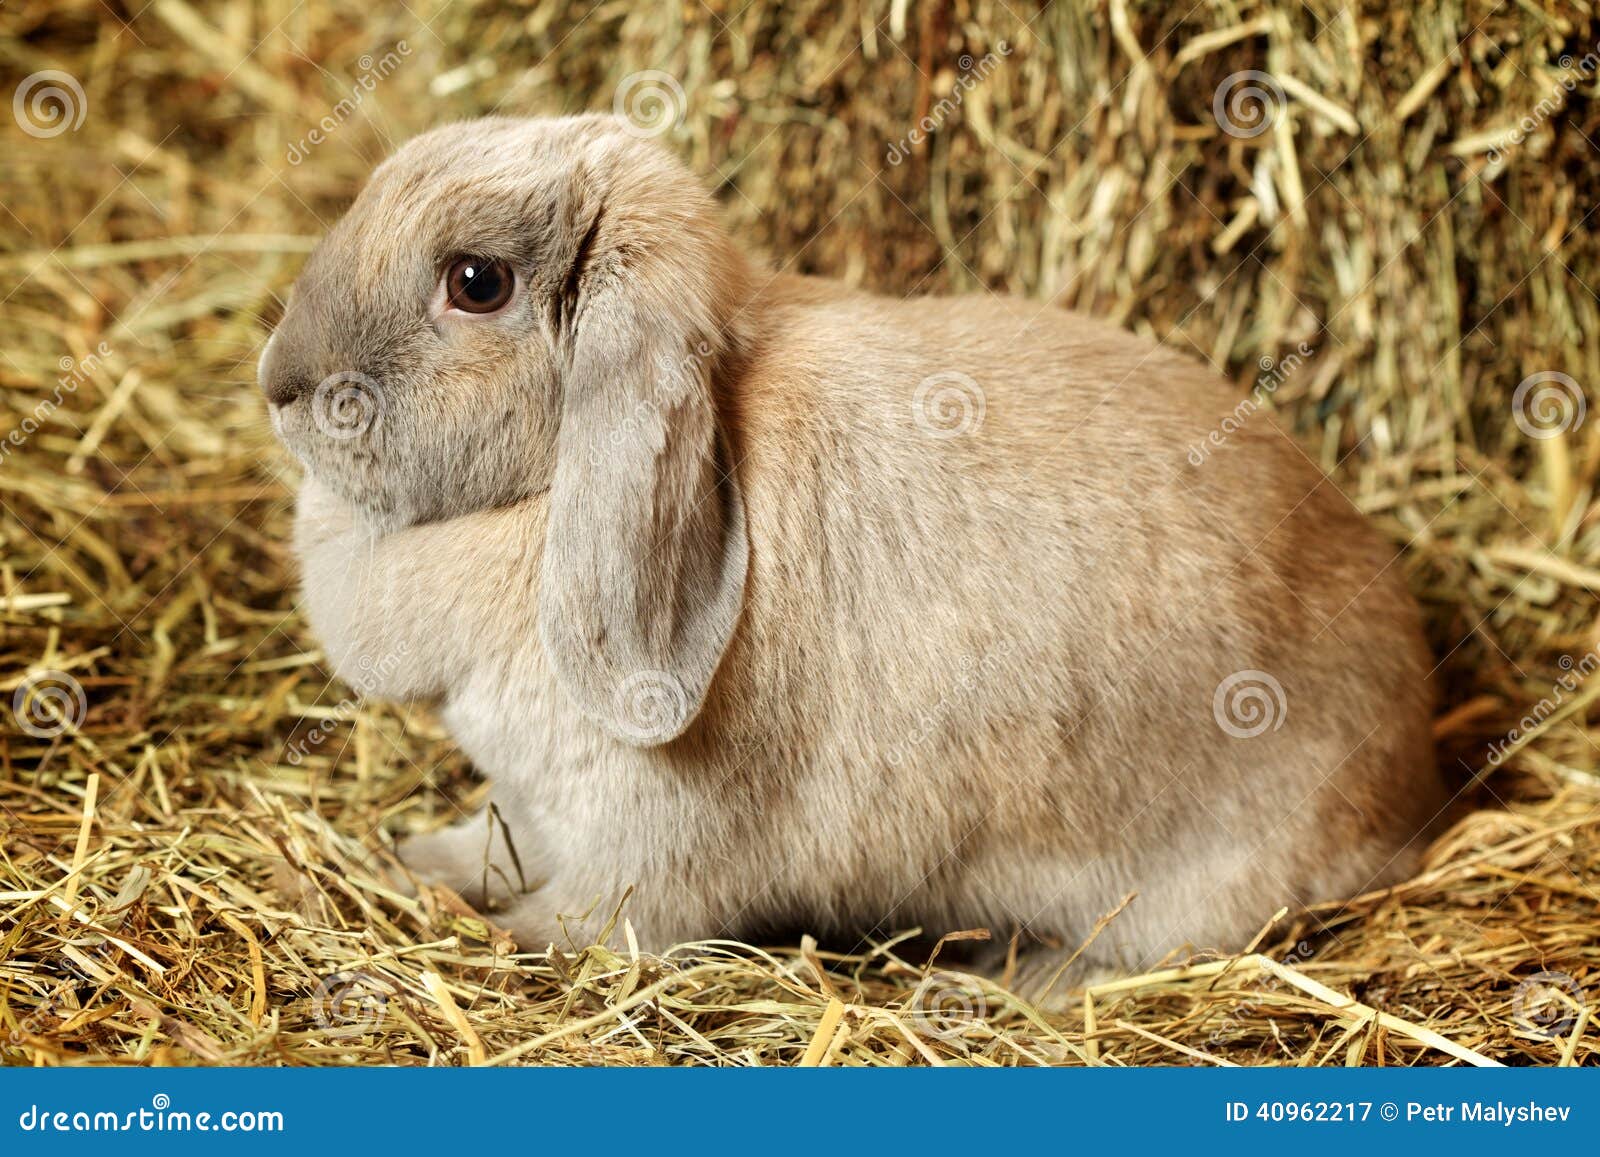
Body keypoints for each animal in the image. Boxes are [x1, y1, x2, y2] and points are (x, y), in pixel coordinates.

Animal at [260, 114, 1445, 984]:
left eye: (476, 282)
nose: (279, 381)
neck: (550, 490)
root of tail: (1410, 779)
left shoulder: (640, 855)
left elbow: (587, 922)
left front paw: (481, 926)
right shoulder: (528, 799)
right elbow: (488, 838)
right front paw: (415, 860)